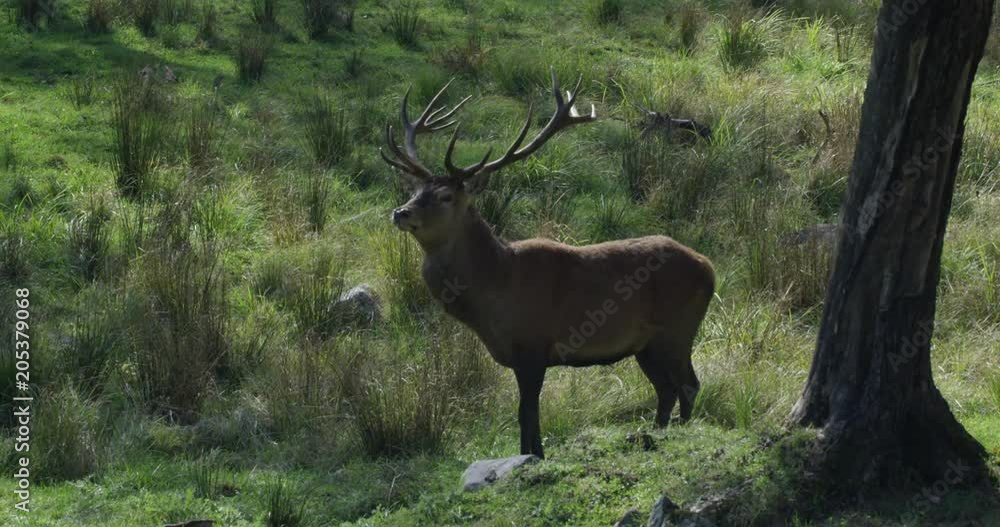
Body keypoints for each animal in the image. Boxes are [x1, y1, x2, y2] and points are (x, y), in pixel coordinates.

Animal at [380, 70, 716, 459]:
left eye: (446, 196)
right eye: (415, 190)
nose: (401, 213)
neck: (493, 292)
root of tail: (709, 268)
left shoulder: (534, 346)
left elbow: (528, 414)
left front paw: (534, 456)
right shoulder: (517, 356)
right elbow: (524, 416)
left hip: (679, 328)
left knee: (689, 384)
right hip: (646, 345)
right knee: (667, 390)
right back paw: (656, 434)